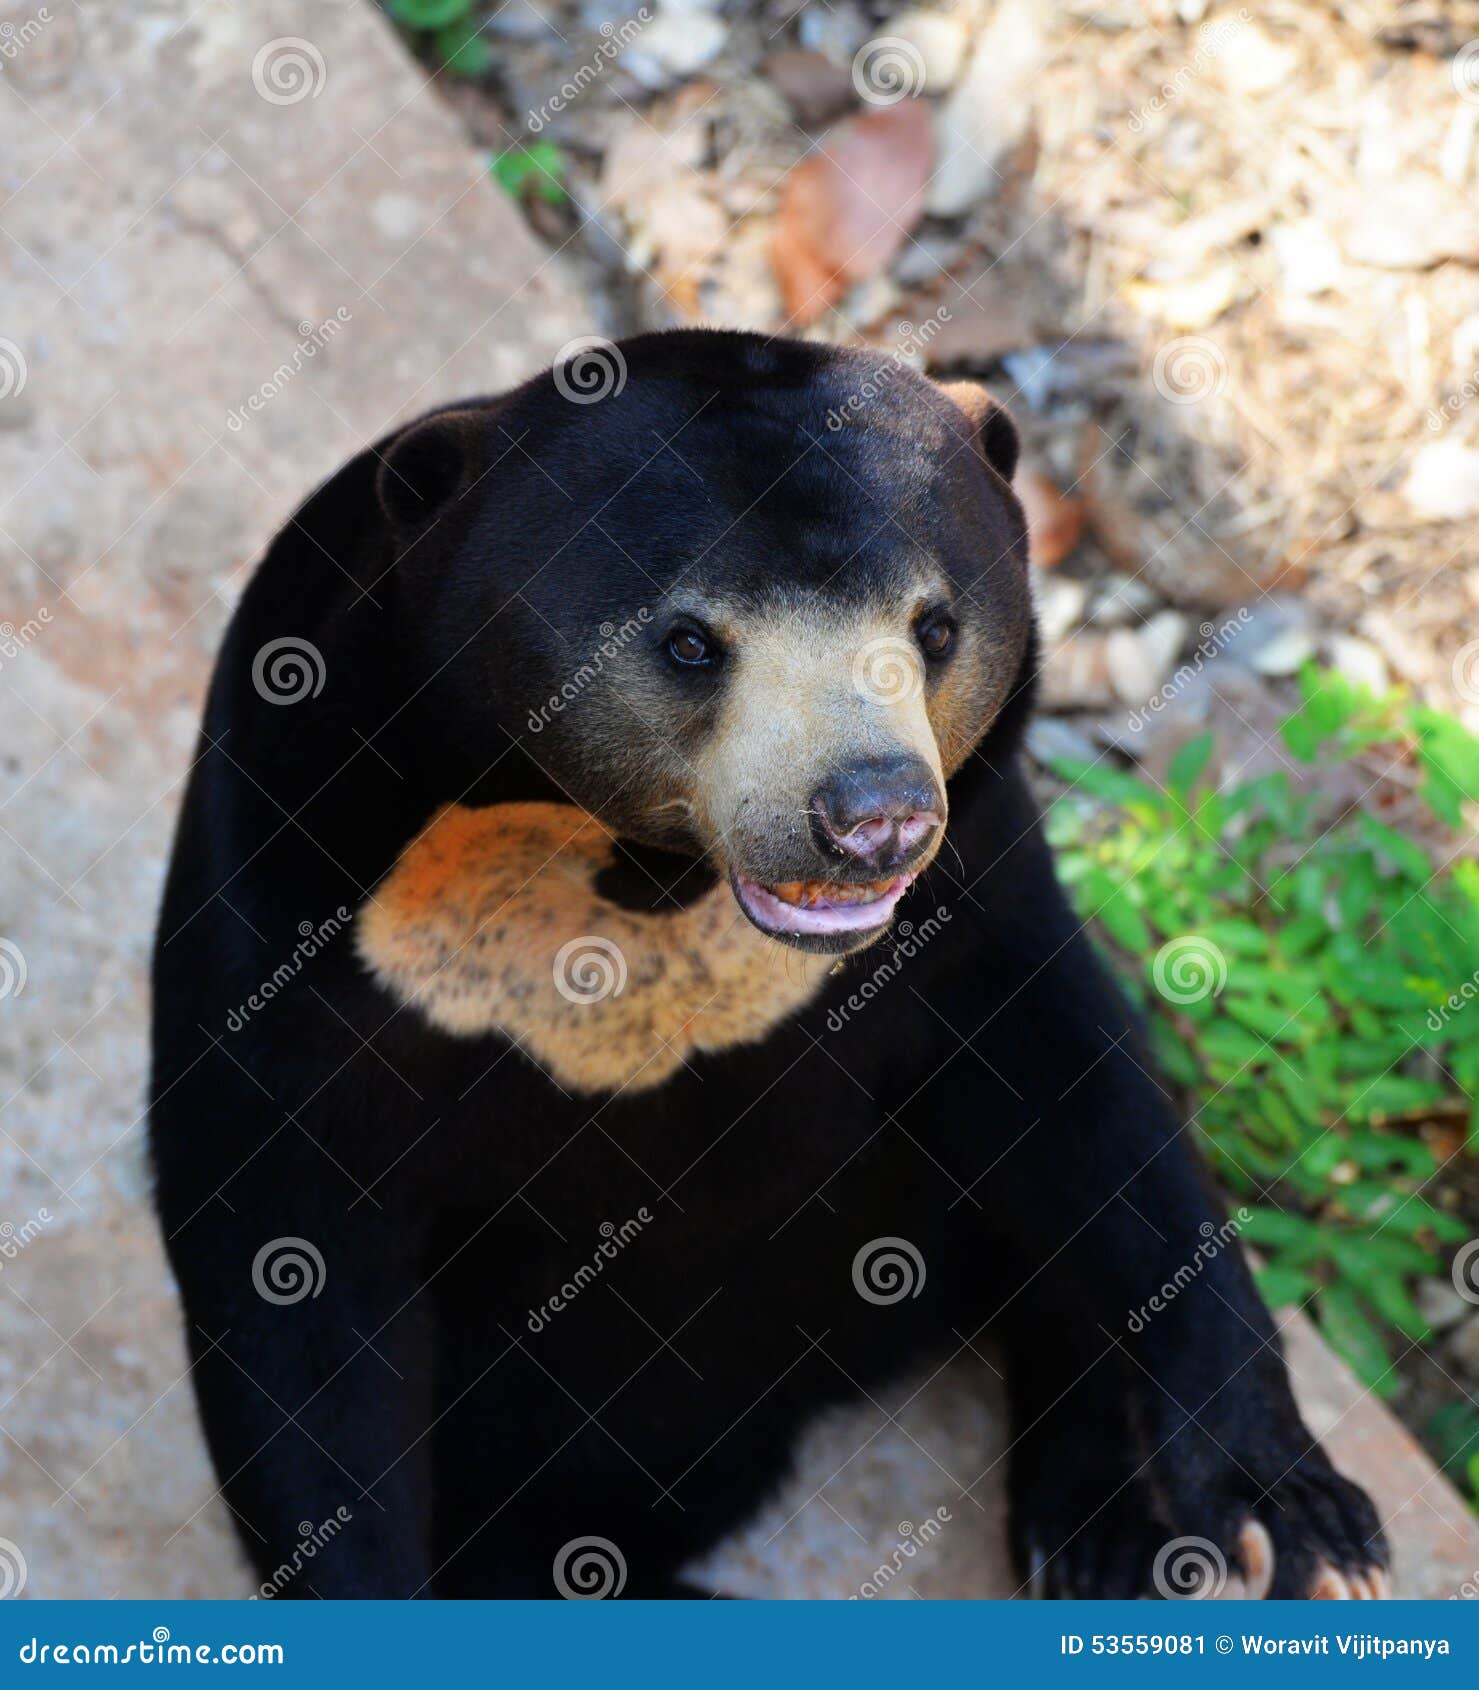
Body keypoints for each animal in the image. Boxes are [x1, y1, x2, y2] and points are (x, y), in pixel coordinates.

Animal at [150, 328, 1388, 1600]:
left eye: (934, 629)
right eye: (690, 642)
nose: (873, 819)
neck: (640, 881)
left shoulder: (977, 867)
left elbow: (1083, 1097)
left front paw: (1300, 1520)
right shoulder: (291, 876)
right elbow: (290, 1258)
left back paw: (1106, 1532)